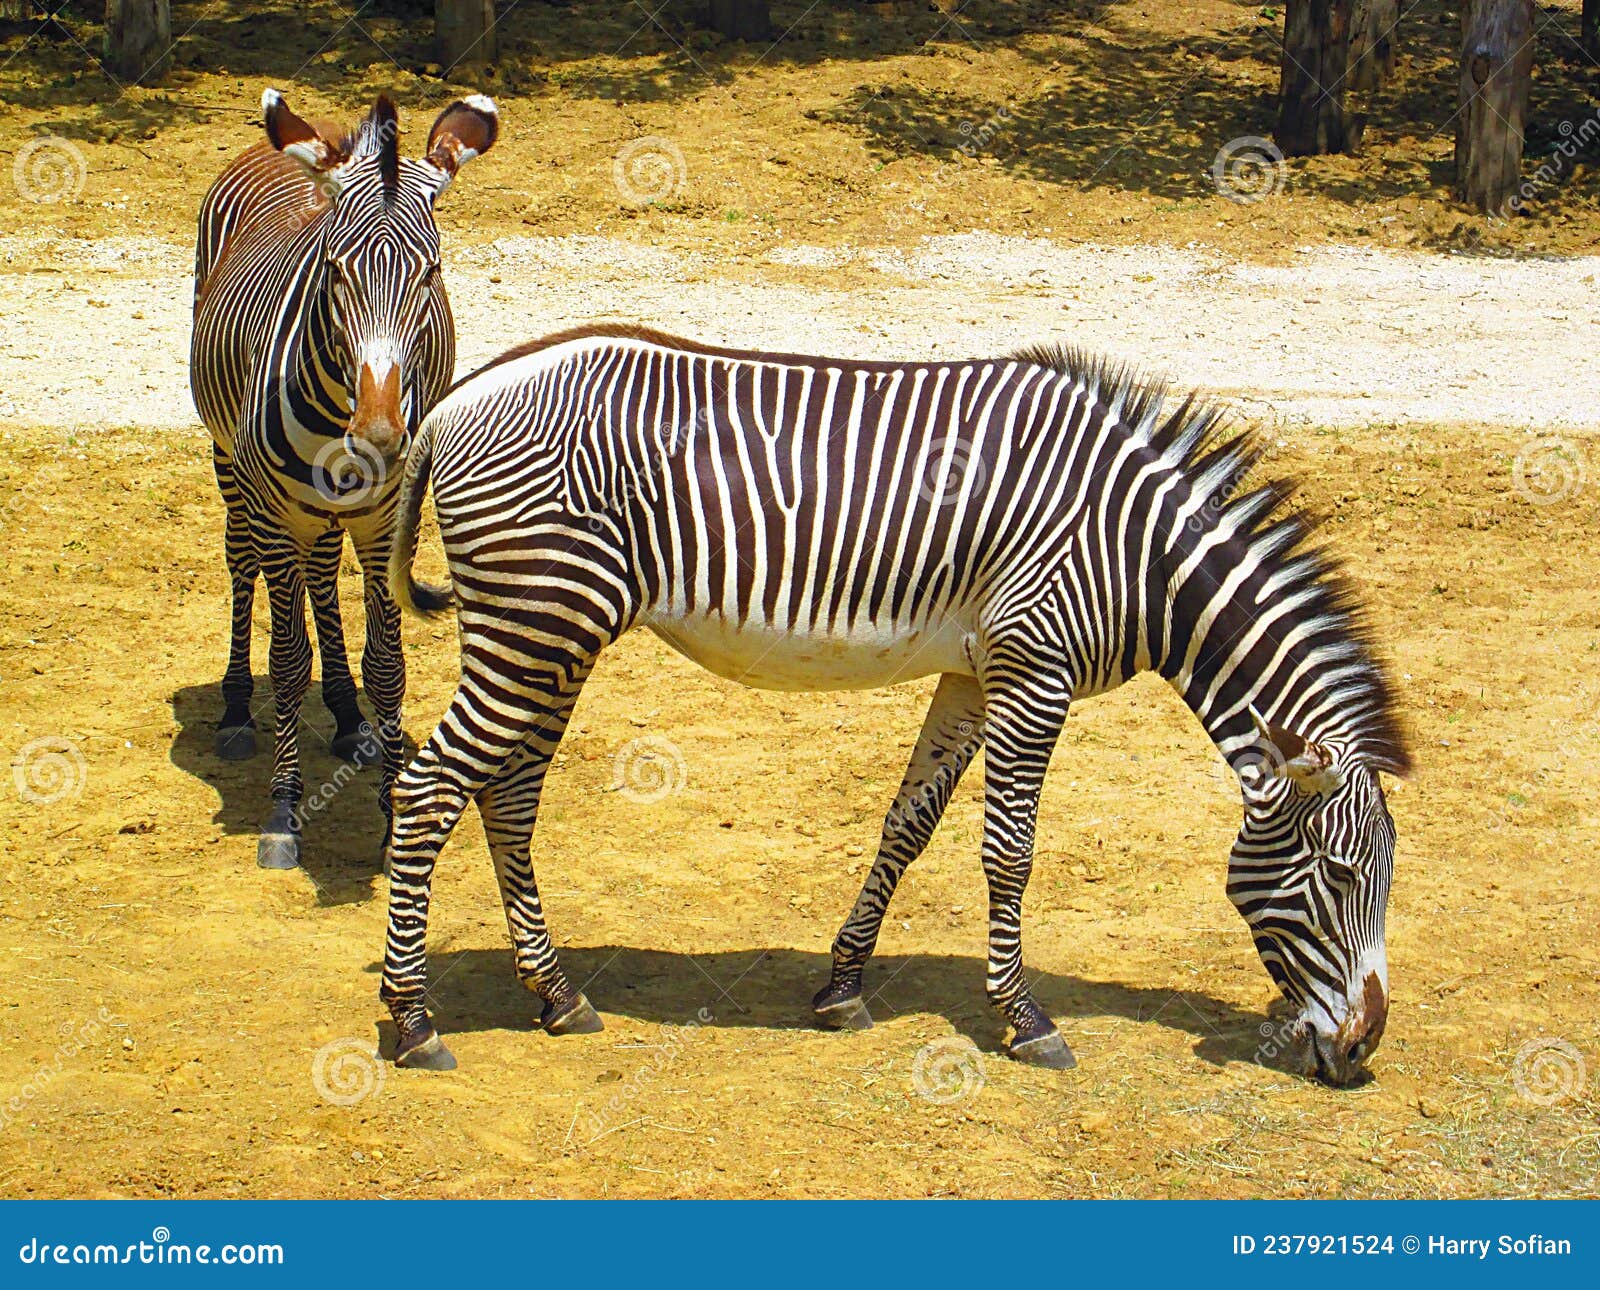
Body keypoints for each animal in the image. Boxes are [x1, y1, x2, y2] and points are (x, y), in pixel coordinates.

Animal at [189, 89, 497, 869]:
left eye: (432, 273)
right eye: (333, 270)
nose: (382, 435)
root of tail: (324, 129)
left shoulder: (384, 519)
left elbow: (388, 662)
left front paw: (390, 811)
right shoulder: (275, 515)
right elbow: (286, 657)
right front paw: (283, 812)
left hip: (329, 515)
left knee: (323, 575)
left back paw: (347, 711)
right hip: (230, 467)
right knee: (241, 564)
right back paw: (235, 708)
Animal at [378, 325, 1410, 1085]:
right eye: (1341, 876)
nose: (1363, 1051)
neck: (1139, 553)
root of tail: (452, 401)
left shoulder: (977, 670)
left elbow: (908, 824)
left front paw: (842, 985)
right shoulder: (1035, 667)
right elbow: (1009, 852)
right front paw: (1025, 1018)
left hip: (553, 633)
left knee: (506, 798)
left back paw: (555, 996)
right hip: (536, 621)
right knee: (428, 791)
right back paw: (414, 1021)